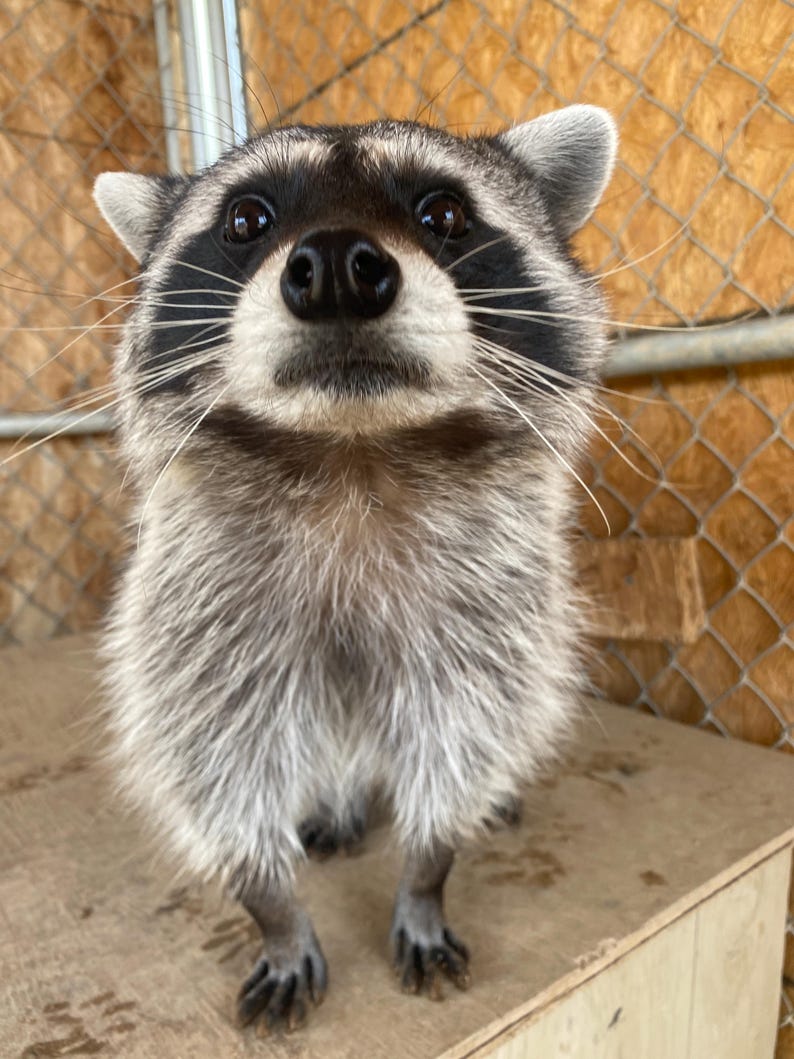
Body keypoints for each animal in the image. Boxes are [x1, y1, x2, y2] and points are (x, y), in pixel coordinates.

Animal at [95, 105, 617, 1032]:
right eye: (246, 219)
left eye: (444, 212)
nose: (336, 265)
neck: (352, 455)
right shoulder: (193, 606)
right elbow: (214, 760)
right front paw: (271, 907)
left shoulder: (494, 599)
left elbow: (464, 731)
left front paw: (429, 872)